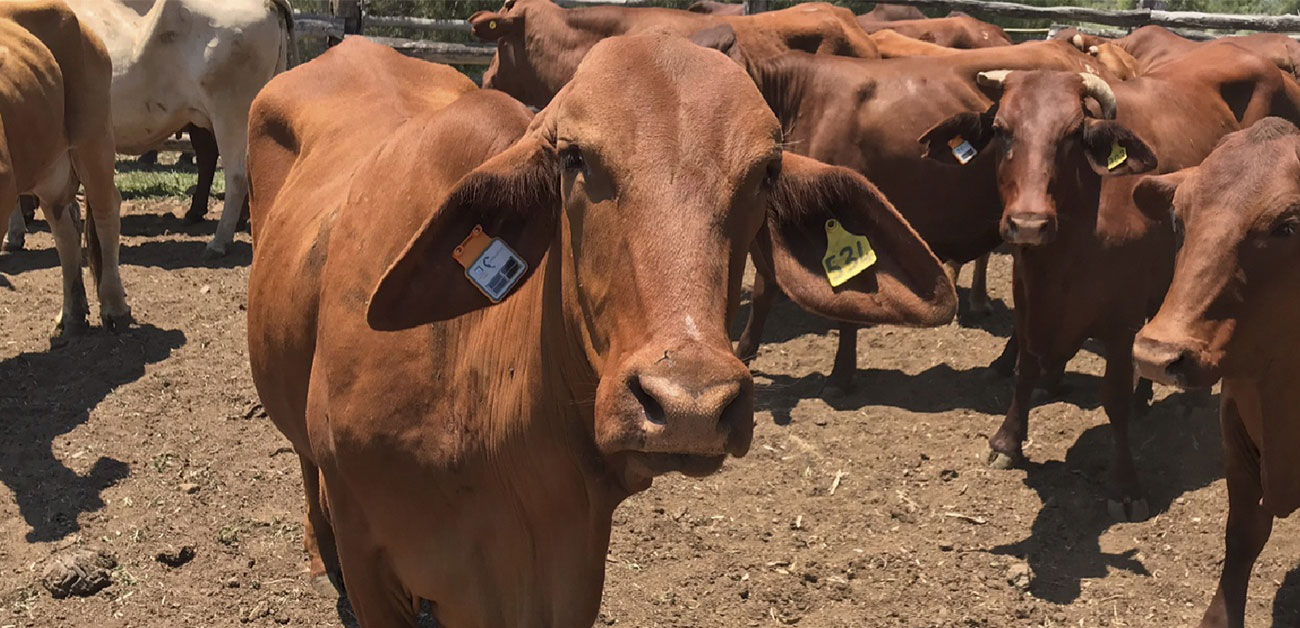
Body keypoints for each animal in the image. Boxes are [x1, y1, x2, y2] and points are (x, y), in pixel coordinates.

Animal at [0, 0, 129, 333]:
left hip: (94, 138)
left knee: (105, 210)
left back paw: (114, 307)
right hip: (50, 166)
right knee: (64, 226)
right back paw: (72, 312)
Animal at [918, 42, 1300, 520]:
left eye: (1072, 134)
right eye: (1003, 131)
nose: (1029, 224)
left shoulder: (1120, 323)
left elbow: (1113, 397)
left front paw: (1126, 484)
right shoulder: (1027, 297)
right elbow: (1025, 368)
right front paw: (1007, 441)